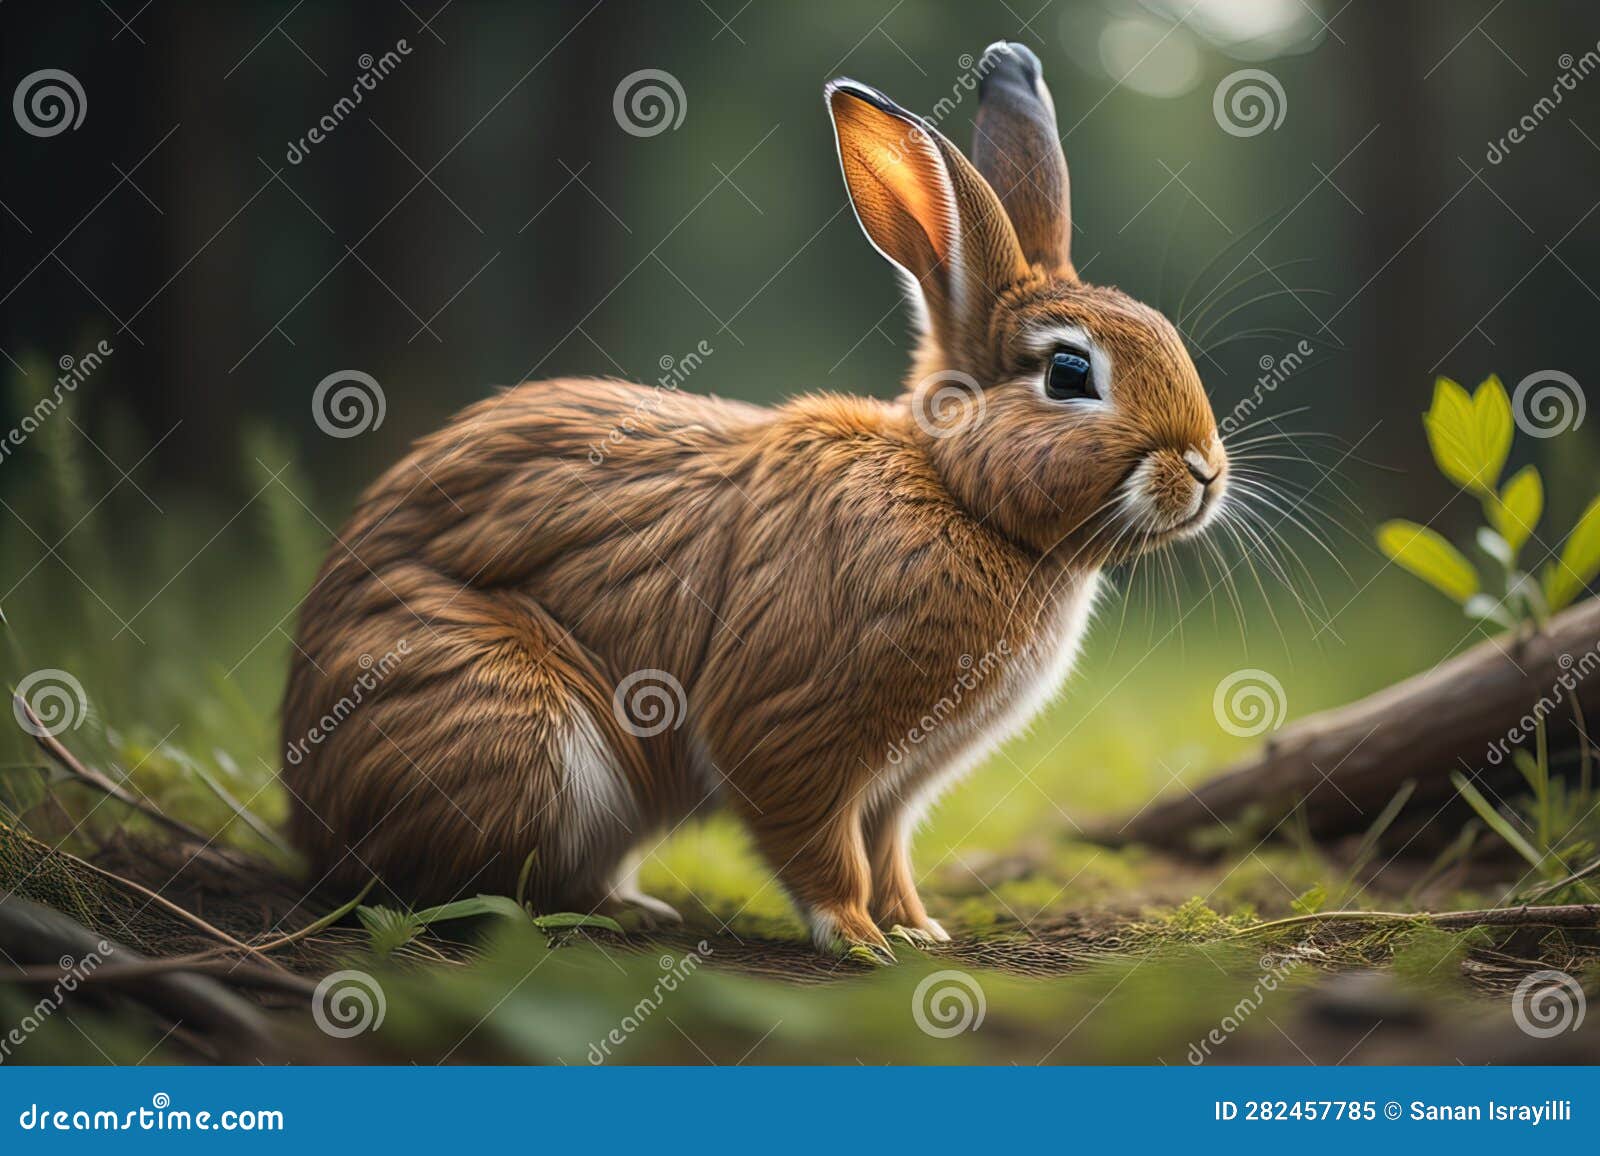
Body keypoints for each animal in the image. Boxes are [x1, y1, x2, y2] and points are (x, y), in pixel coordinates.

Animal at [279, 41, 1228, 959]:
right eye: (1069, 372)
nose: (1205, 470)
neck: (956, 492)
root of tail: (306, 803)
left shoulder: (894, 790)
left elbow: (888, 849)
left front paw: (918, 929)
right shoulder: (791, 722)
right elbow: (818, 840)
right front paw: (859, 941)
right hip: (514, 730)